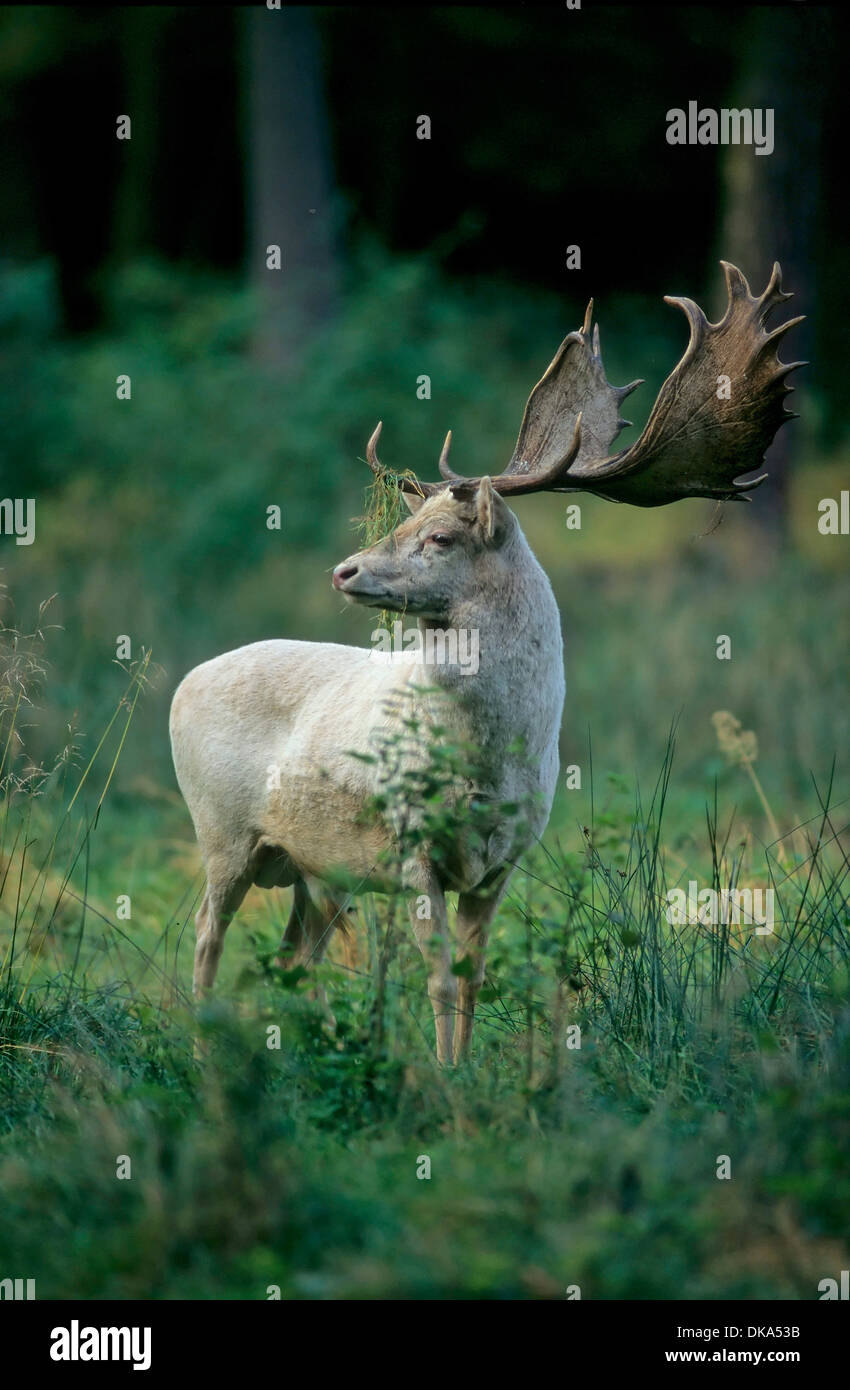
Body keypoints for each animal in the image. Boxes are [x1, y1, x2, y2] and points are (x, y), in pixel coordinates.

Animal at [169, 261, 803, 1065]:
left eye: (440, 536)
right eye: (405, 518)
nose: (343, 570)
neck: (490, 763)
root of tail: (186, 680)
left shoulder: (505, 858)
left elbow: (472, 977)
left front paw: (465, 1069)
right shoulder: (411, 843)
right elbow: (440, 978)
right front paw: (443, 1078)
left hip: (317, 867)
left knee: (293, 955)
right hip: (220, 830)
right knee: (206, 935)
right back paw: (200, 1052)